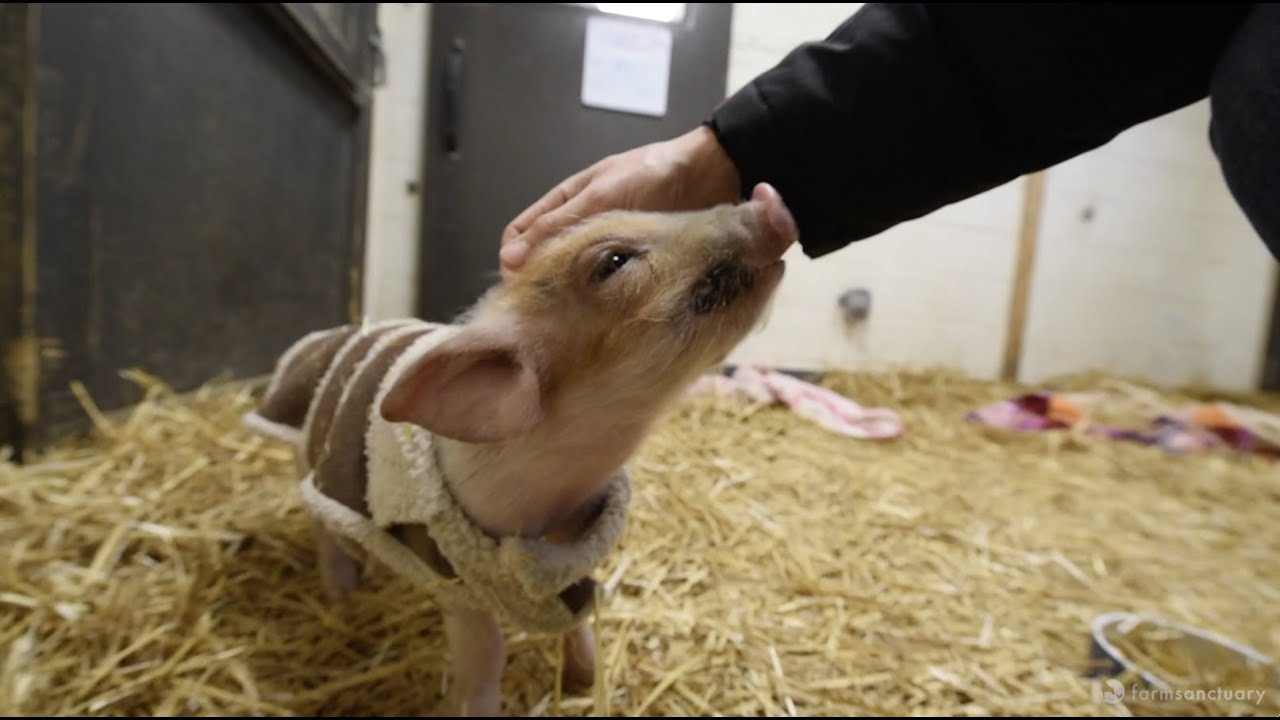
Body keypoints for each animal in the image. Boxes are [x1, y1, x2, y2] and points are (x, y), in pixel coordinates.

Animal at [240, 182, 798, 716]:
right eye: (613, 263)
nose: (767, 200)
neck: (552, 496)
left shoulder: (572, 546)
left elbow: (582, 608)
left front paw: (585, 678)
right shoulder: (453, 575)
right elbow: (486, 655)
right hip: (304, 460)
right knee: (323, 530)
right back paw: (343, 596)